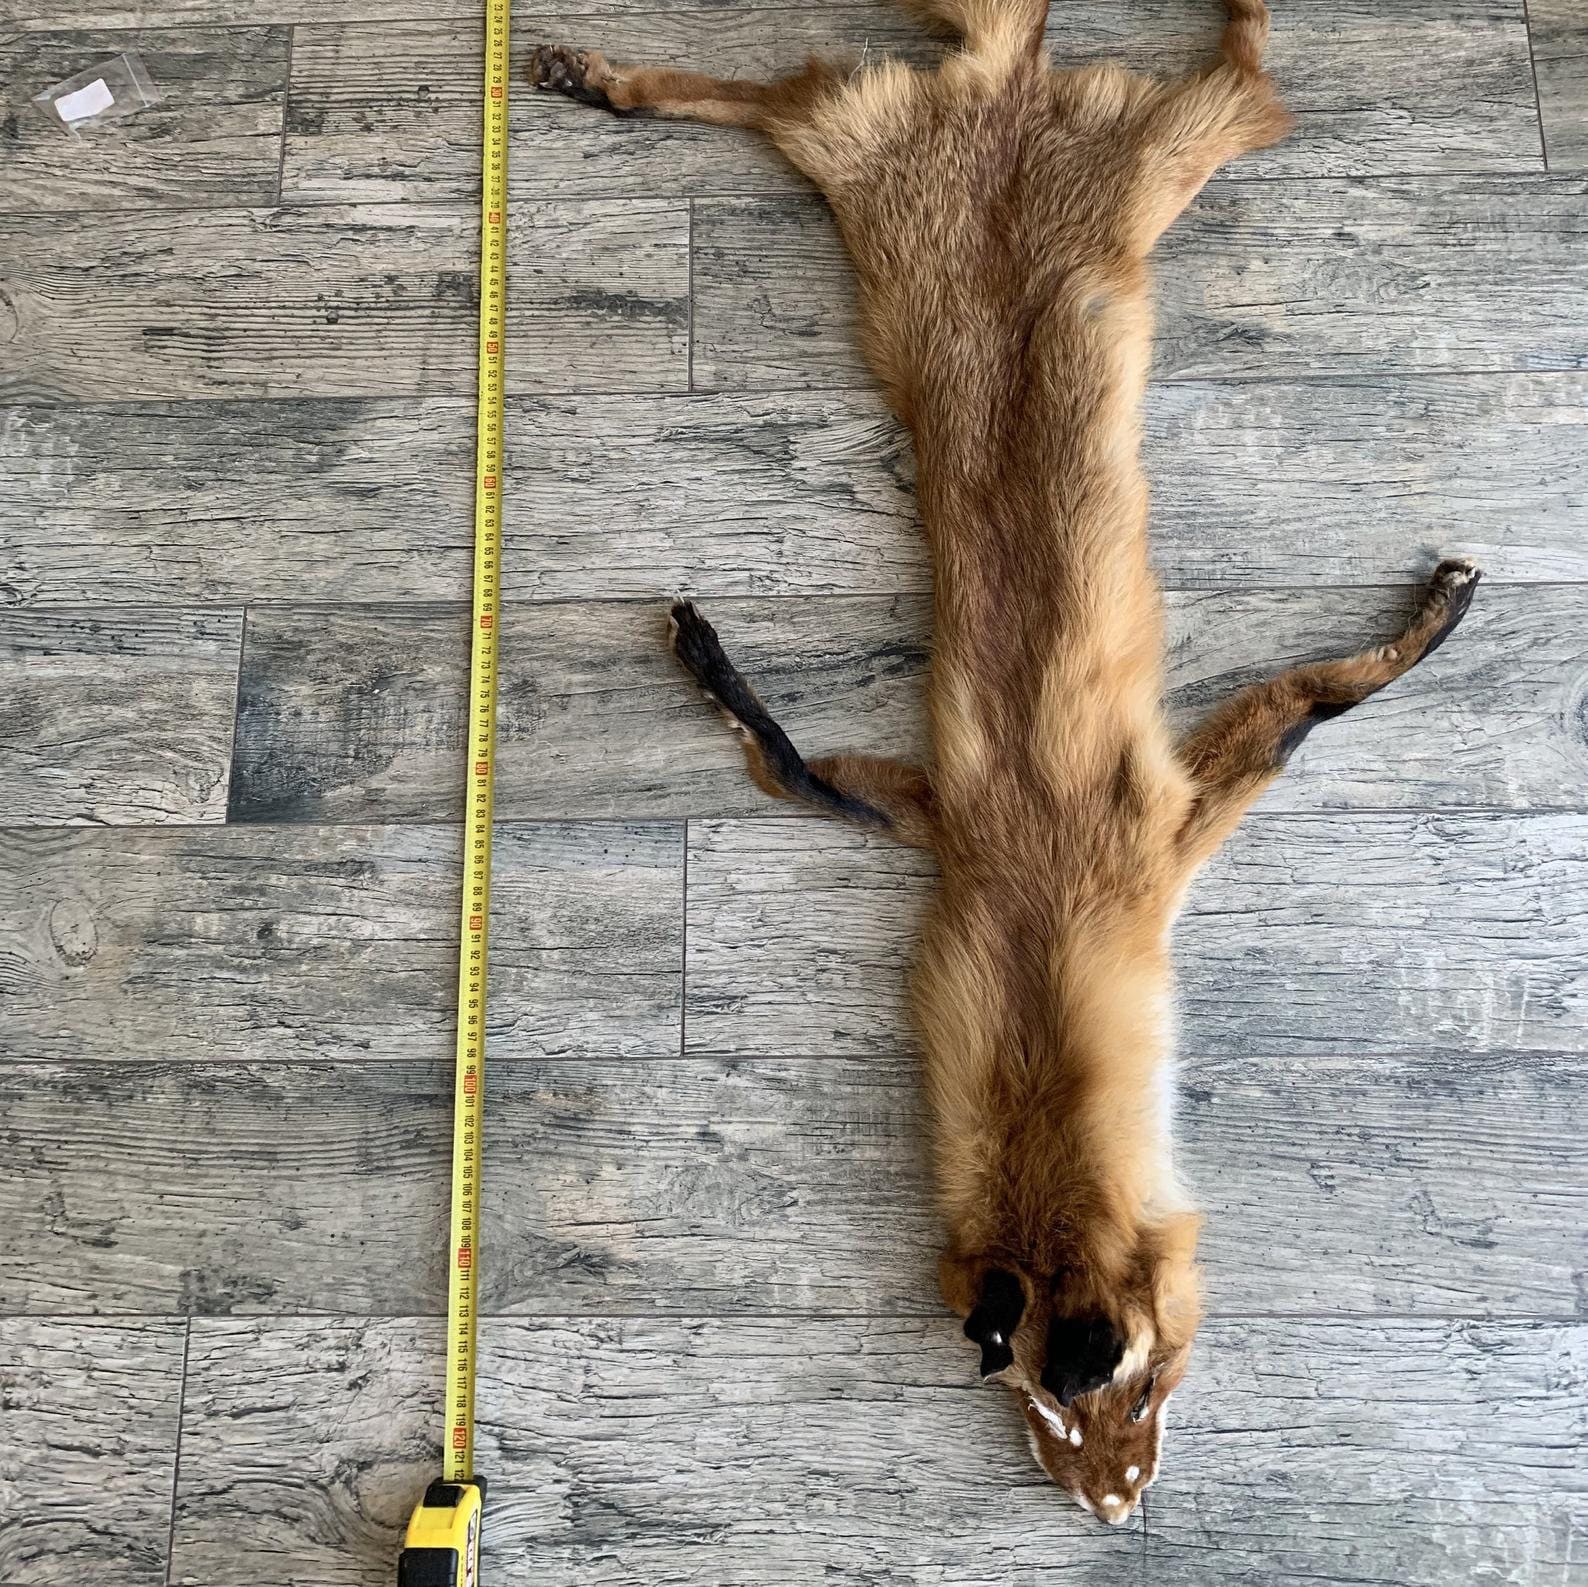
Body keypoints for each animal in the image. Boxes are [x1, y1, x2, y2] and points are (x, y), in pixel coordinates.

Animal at [530, 0, 1481, 1523]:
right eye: (1045, 1408)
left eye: (1136, 1389)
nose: (1114, 1510)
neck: (1038, 946)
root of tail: (1010, 109)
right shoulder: (951, 824)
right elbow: (778, 751)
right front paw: (710, 666)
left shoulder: (1154, 827)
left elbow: (1320, 698)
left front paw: (1433, 617)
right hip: (864, 155)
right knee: (740, 92)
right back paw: (597, 80)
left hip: (1169, 150)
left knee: (1246, 64)